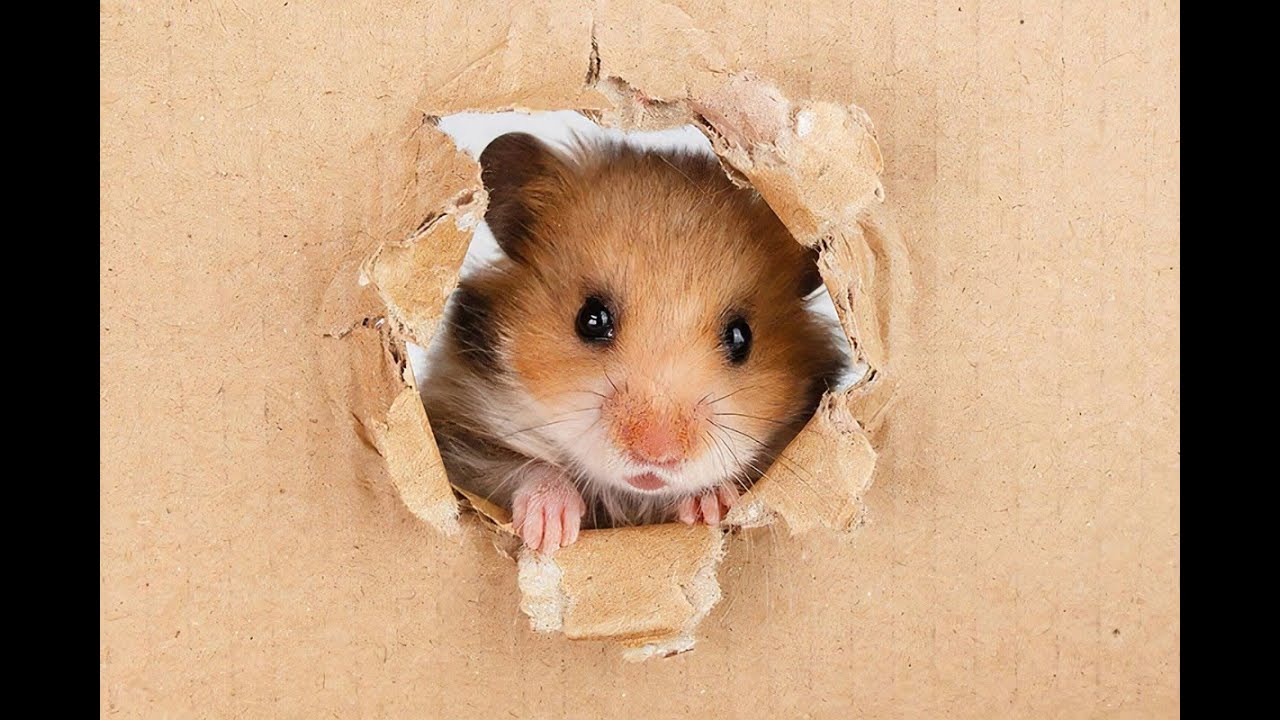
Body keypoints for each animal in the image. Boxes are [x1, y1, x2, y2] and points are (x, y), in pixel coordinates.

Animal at [420, 131, 847, 553]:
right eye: (591, 318)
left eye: (741, 337)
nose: (656, 456)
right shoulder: (458, 438)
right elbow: (523, 467)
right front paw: (551, 531)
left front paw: (710, 505)